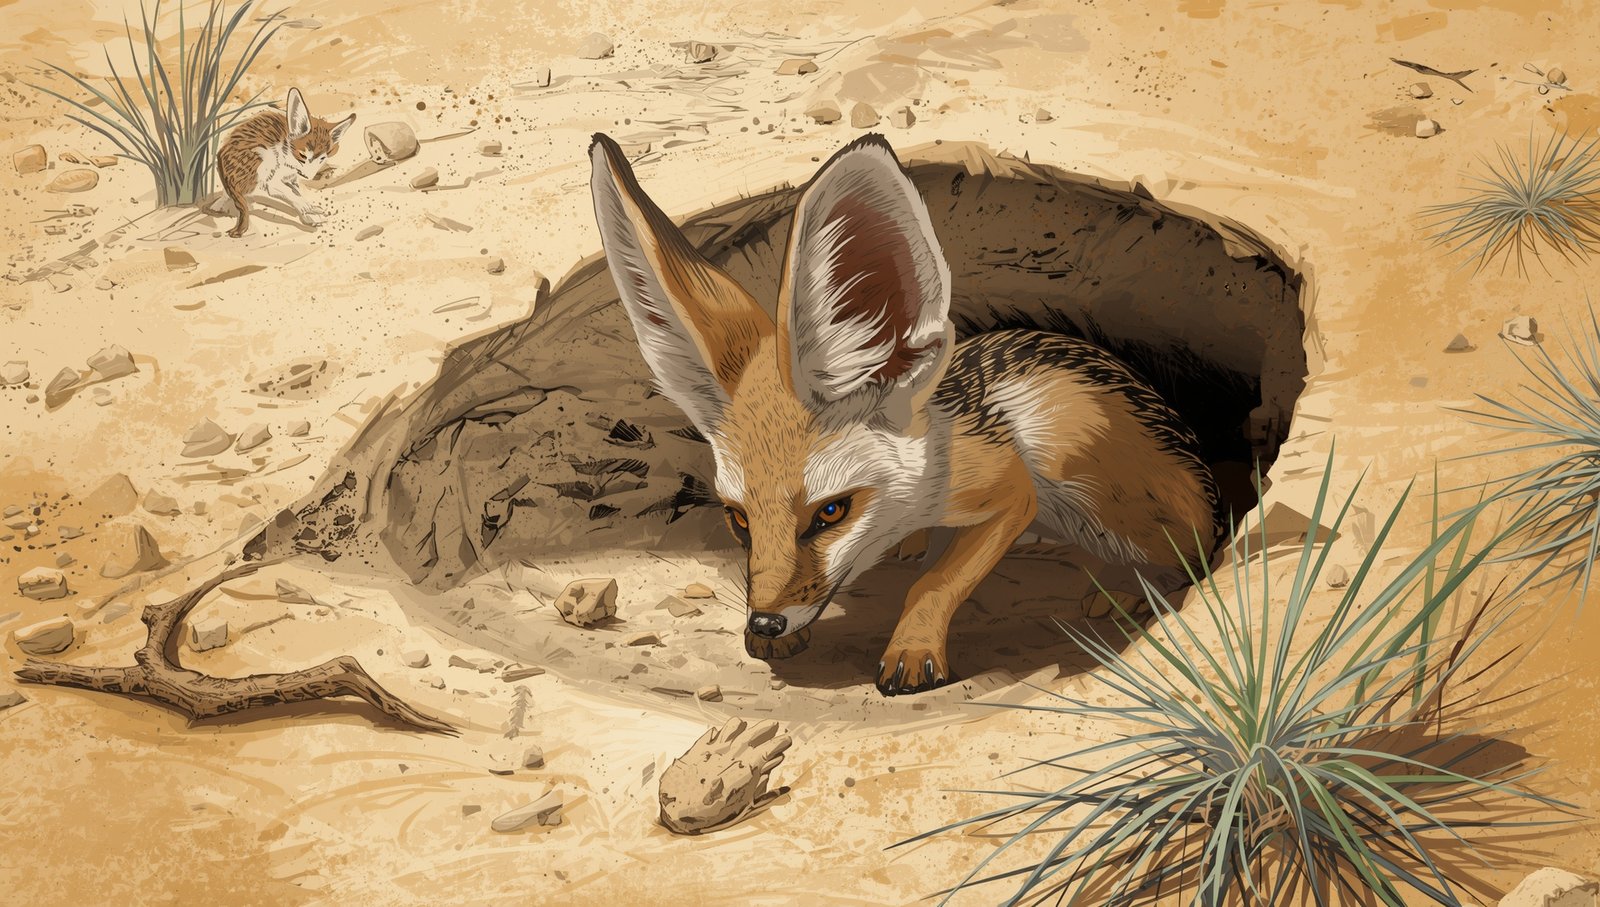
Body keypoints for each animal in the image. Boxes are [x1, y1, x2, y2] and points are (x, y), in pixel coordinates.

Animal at [218, 87, 354, 238]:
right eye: (302, 155)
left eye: (322, 159)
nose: (307, 177)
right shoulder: (273, 180)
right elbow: (289, 192)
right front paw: (308, 208)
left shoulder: (291, 178)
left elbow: (296, 192)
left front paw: (310, 213)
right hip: (259, 160)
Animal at [588, 132, 1219, 695]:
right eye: (738, 518)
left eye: (832, 511)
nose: (765, 623)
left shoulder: (1009, 492)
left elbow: (935, 584)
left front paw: (913, 649)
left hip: (1077, 454)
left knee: (1193, 547)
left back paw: (1137, 583)